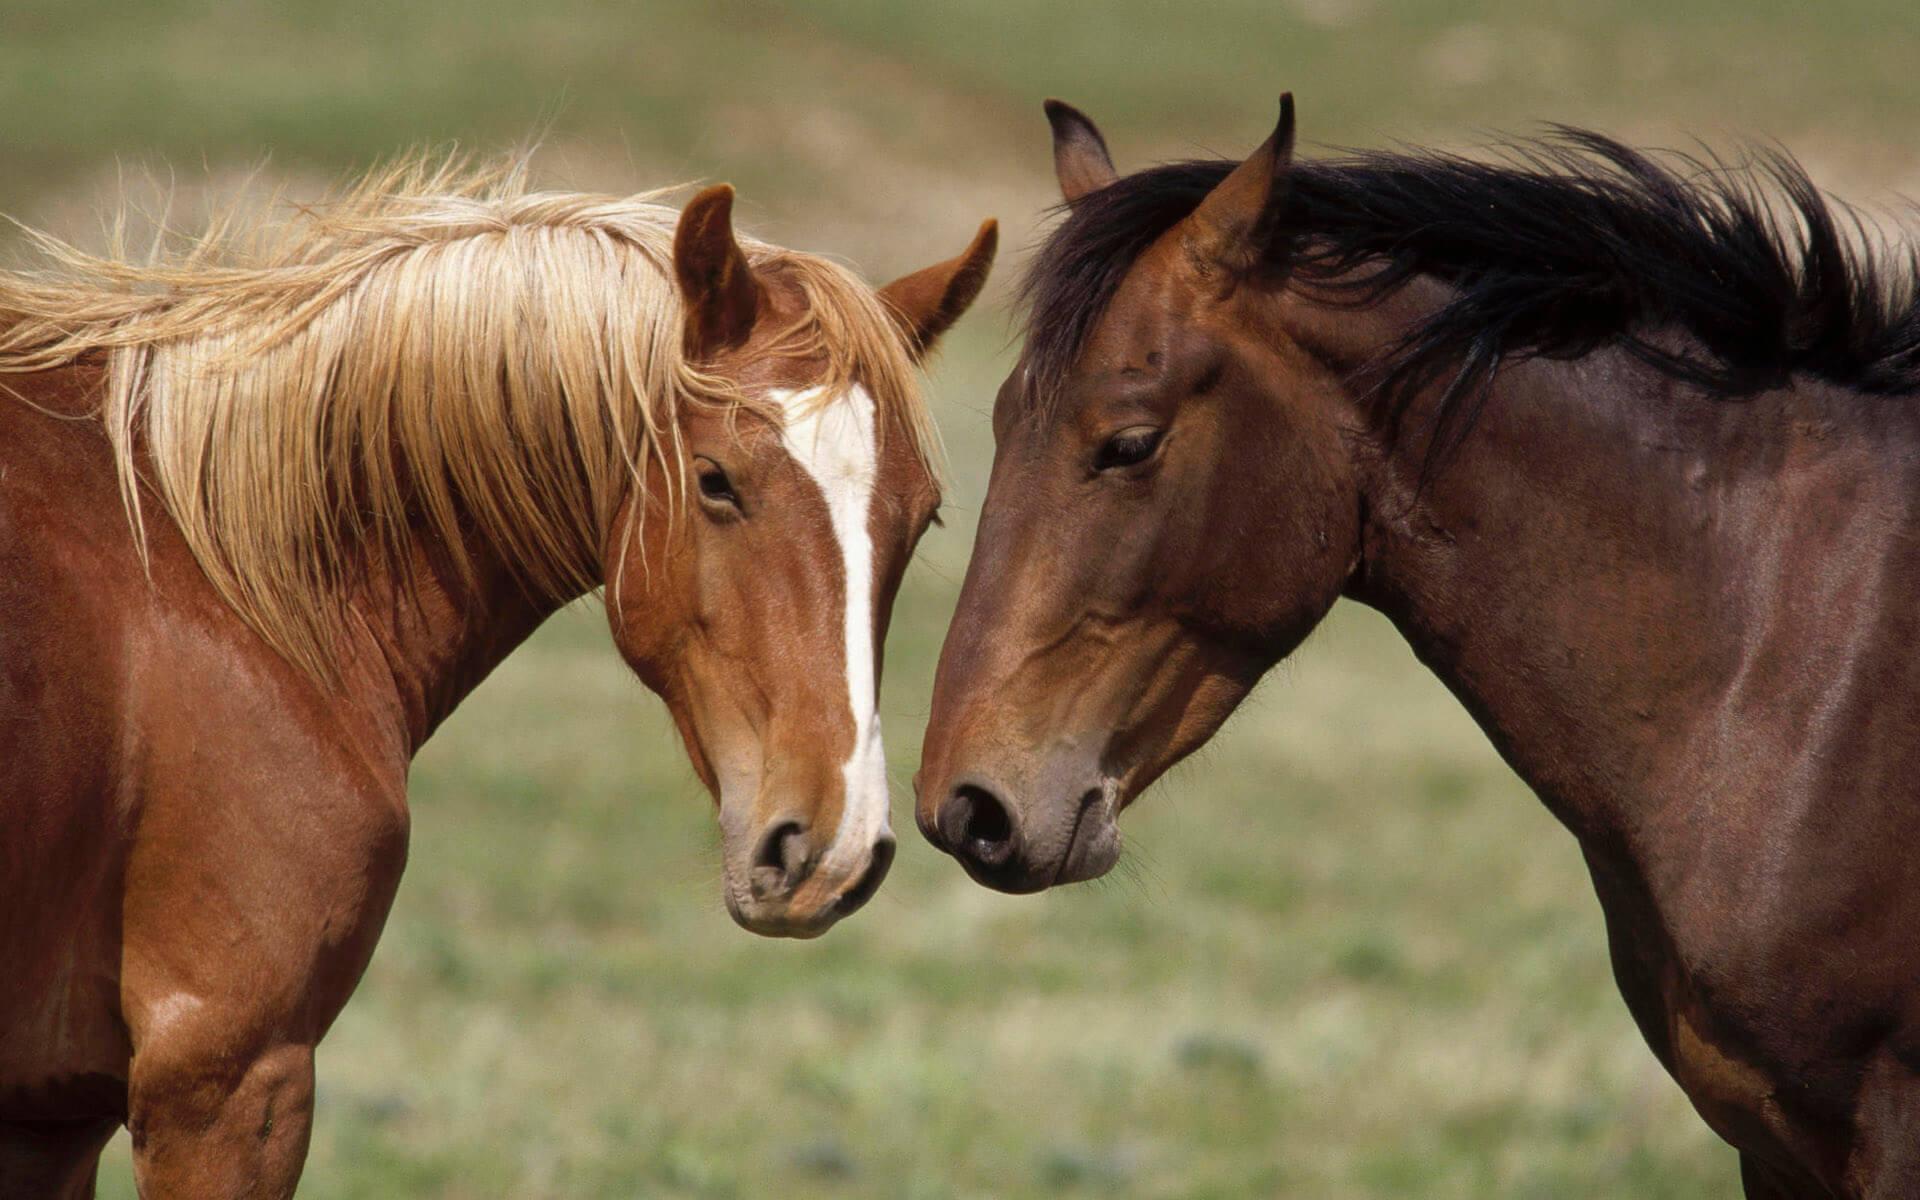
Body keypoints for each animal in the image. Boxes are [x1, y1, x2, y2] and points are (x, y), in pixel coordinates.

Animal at [0, 156, 995, 1198]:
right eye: (717, 479)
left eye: (922, 514)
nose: (832, 849)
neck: (211, 568)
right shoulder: (228, 1074)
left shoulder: (51, 1122)